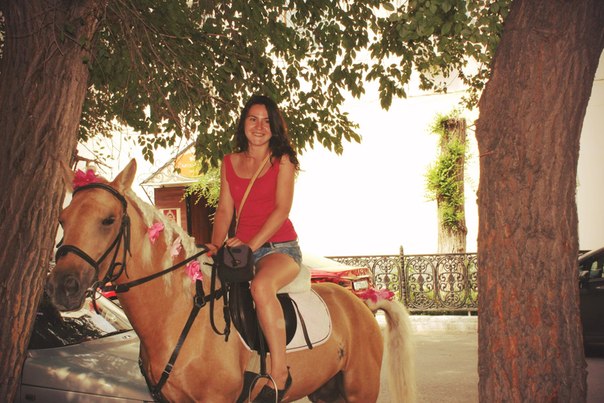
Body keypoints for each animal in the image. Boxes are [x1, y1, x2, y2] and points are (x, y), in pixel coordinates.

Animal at [46, 159, 415, 403]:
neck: (178, 313)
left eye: (108, 220)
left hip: (359, 388)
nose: (63, 287)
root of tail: (362, 304)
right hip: (327, 391)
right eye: (62, 219)